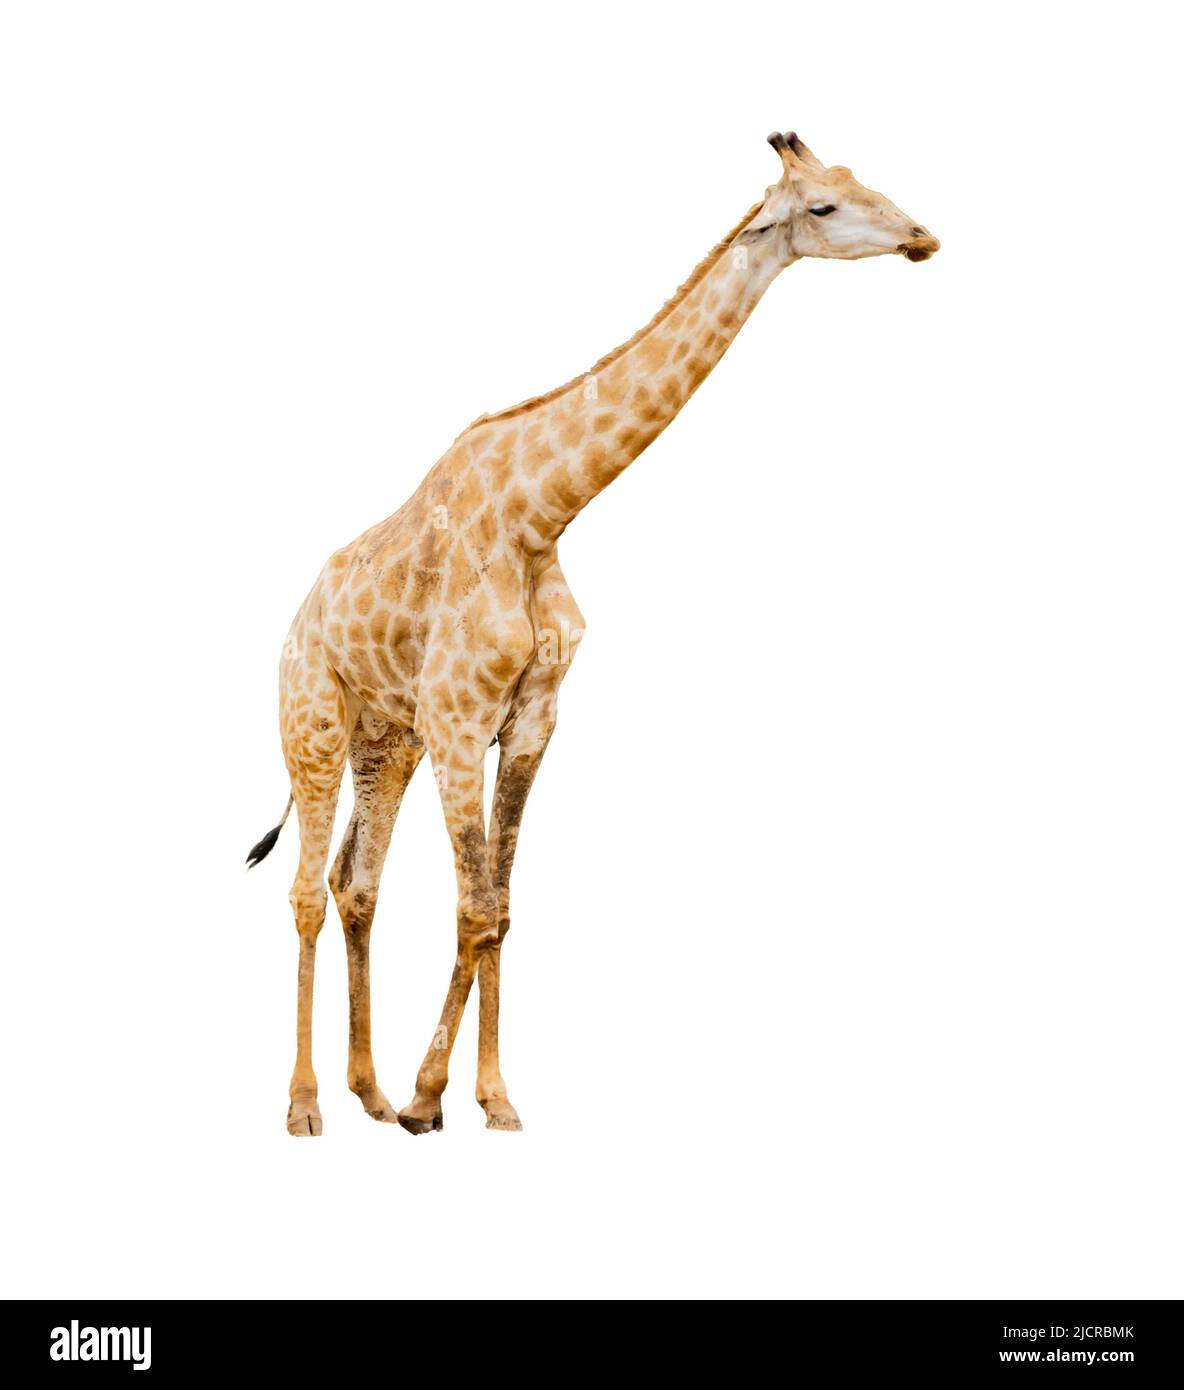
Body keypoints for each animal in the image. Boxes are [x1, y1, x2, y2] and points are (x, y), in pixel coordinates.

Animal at [247, 131, 939, 1137]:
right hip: (315, 724)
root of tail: (298, 618)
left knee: (355, 884)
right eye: (823, 207)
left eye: (859, 181)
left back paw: (365, 1091)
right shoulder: (460, 719)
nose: (924, 237)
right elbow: (474, 904)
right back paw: (305, 1107)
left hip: (388, 741)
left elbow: (499, 908)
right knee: (303, 890)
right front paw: (430, 1098)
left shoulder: (529, 721)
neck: (541, 517)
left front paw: (484, 1098)